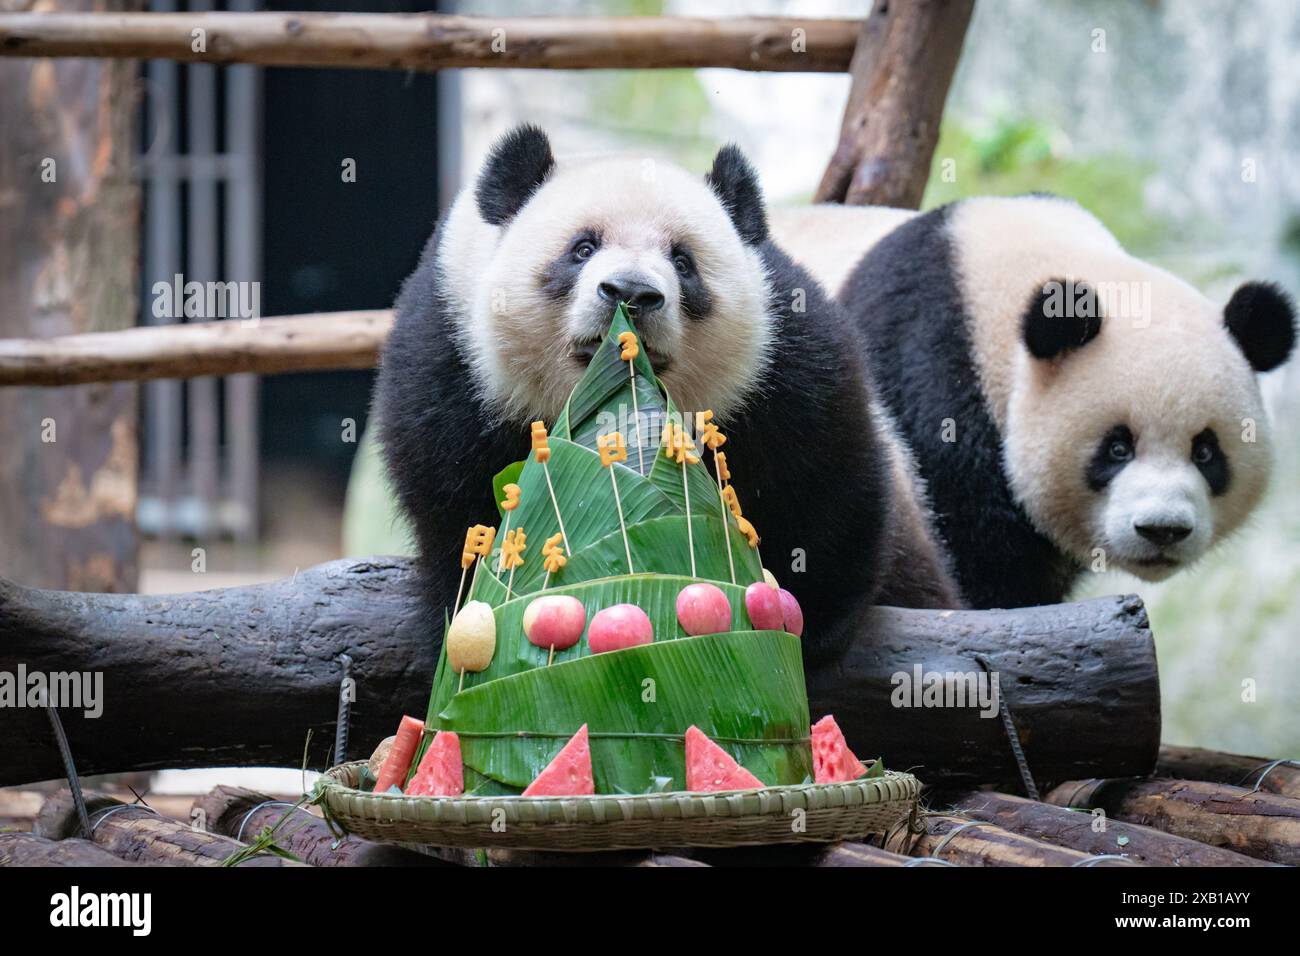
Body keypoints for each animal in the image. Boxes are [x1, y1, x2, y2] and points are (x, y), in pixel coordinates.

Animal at [373, 125, 961, 666]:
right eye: (582, 248)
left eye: (683, 261)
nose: (630, 292)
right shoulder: (453, 355)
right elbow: (456, 498)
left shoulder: (780, 356)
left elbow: (823, 479)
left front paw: (810, 632)